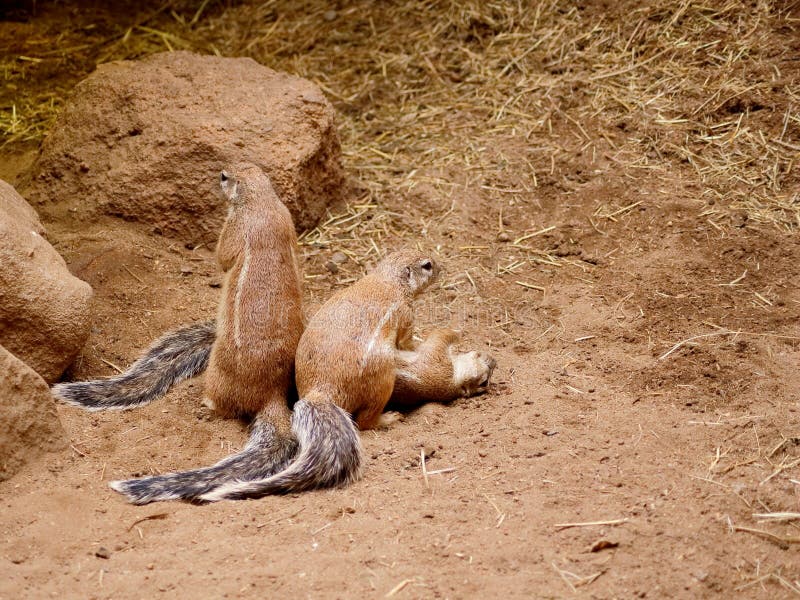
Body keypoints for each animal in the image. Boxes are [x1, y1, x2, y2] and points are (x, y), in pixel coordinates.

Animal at [197, 250, 496, 502]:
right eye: (427, 265)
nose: (440, 266)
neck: (385, 280)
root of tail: (320, 392)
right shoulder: (405, 319)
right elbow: (414, 342)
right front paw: (450, 333)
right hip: (383, 378)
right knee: (364, 421)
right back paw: (388, 418)